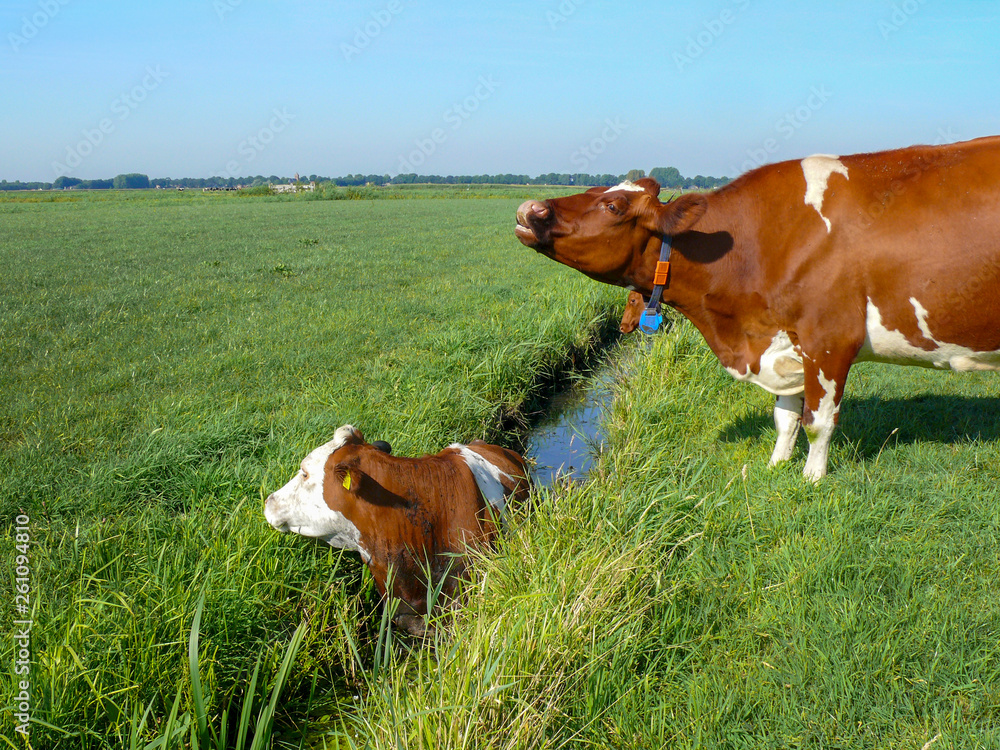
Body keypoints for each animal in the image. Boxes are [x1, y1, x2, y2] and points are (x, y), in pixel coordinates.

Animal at [515, 135, 1000, 480]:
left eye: (613, 205)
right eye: (593, 188)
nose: (528, 208)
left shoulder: (829, 339)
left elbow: (818, 421)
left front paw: (811, 479)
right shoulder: (783, 342)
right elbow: (785, 418)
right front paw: (775, 466)